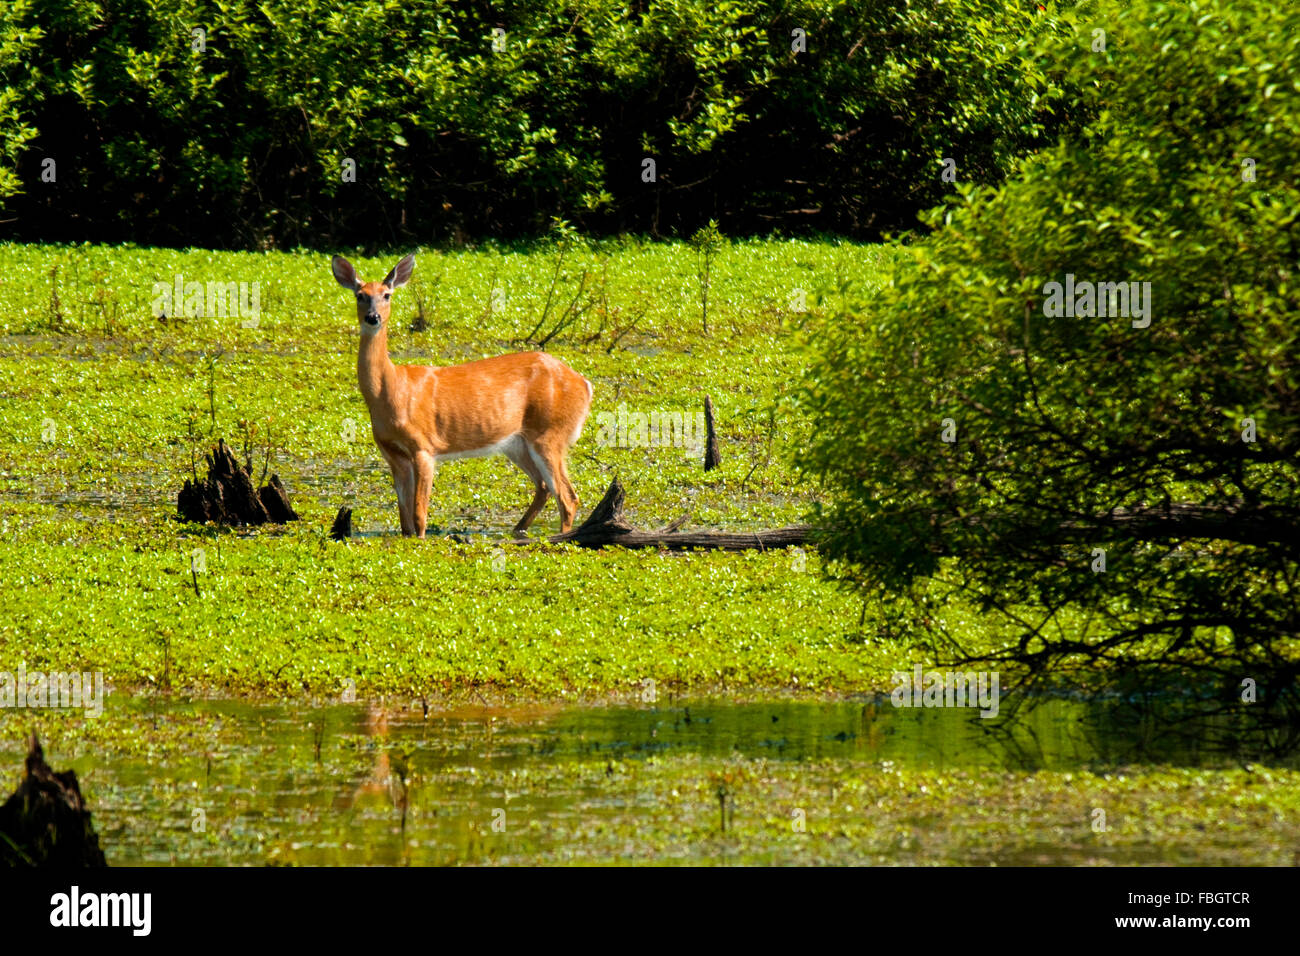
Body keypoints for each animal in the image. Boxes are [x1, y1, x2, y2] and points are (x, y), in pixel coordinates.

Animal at [331, 253, 593, 539]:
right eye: (360, 295)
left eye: (387, 294)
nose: (373, 317)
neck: (391, 391)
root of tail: (584, 383)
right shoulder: (391, 453)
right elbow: (404, 521)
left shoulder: (424, 446)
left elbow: (419, 514)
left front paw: (422, 540)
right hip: (518, 443)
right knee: (545, 488)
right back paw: (517, 531)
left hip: (550, 433)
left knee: (568, 497)